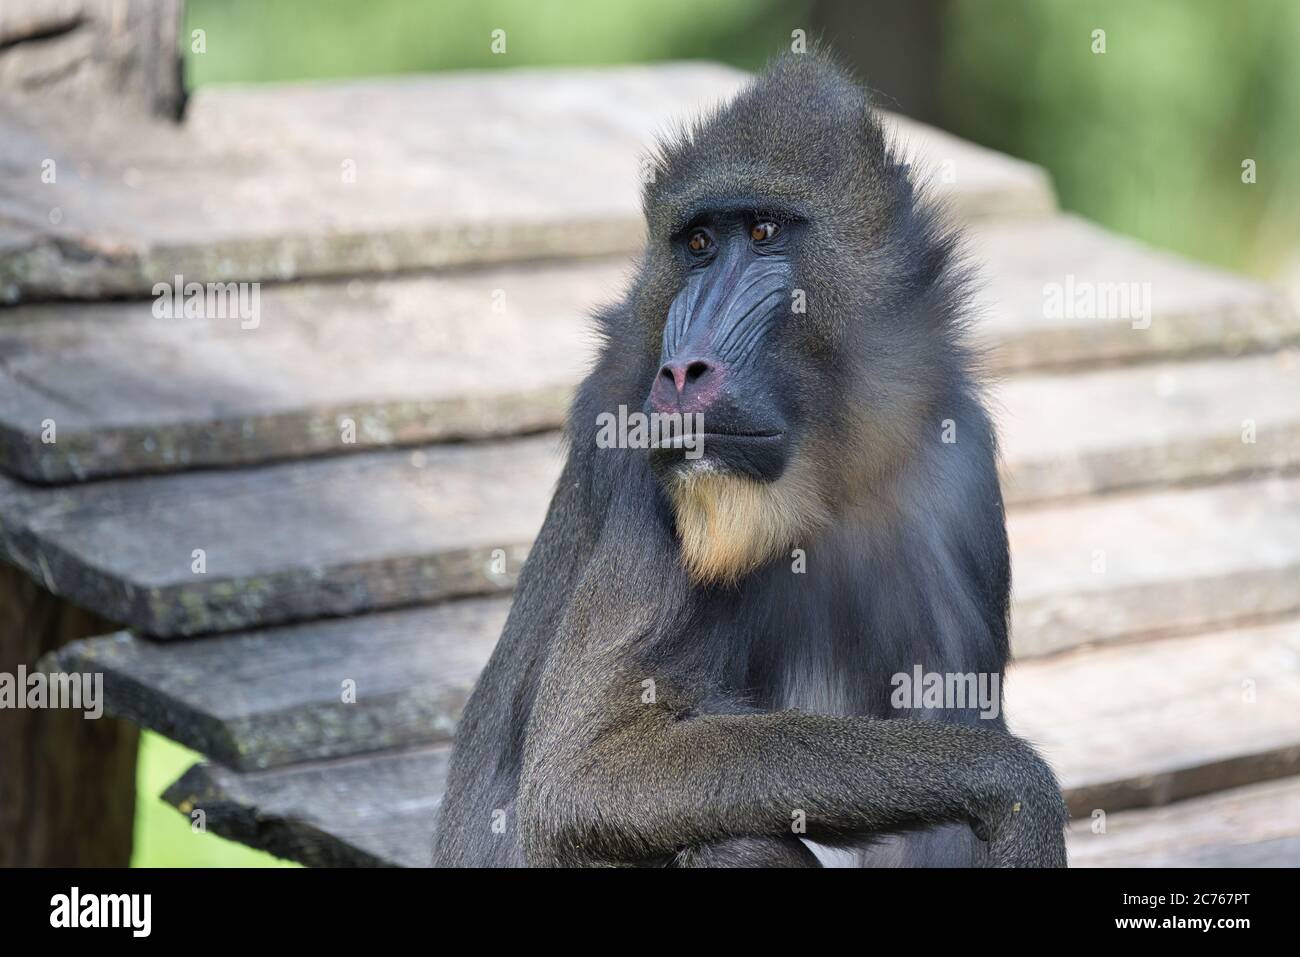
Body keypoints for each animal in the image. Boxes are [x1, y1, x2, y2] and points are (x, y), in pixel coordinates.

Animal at [432, 51, 1068, 868]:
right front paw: (1016, 785)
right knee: (728, 841)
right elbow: (578, 773)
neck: (831, 473)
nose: (683, 372)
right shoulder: (630, 444)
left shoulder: (957, 464)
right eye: (699, 244)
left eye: (764, 230)